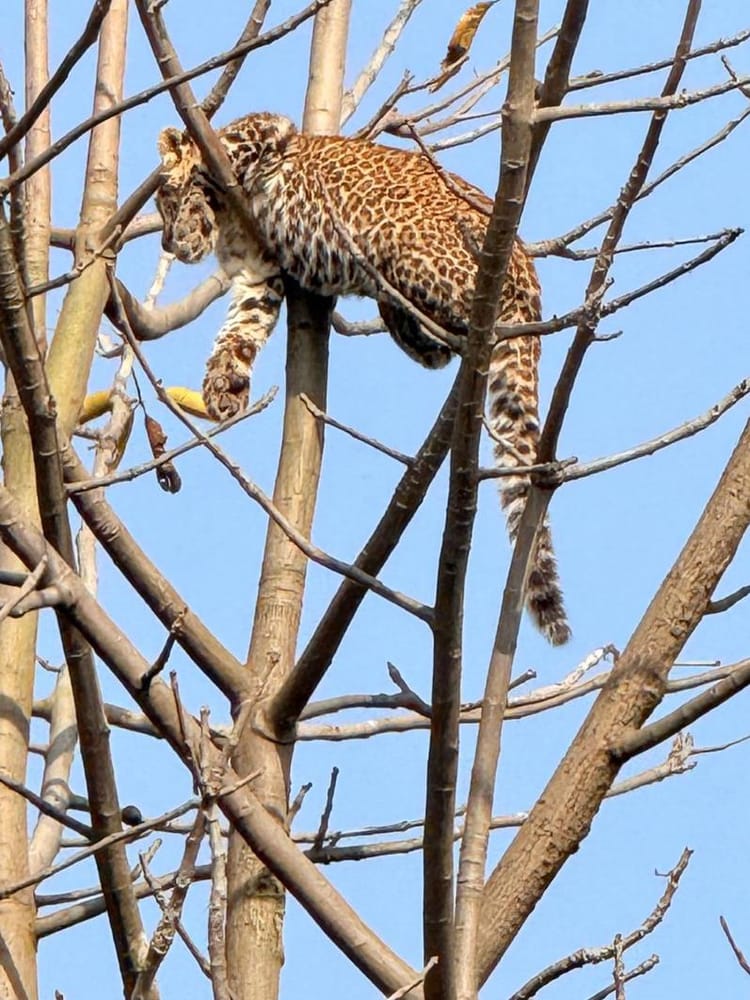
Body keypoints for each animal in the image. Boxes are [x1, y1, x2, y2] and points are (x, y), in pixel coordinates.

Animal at [155, 111, 570, 645]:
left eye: (167, 197)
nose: (169, 243)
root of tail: (528, 280)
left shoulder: (265, 129)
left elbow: (225, 150)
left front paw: (204, 184)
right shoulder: (258, 274)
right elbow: (241, 332)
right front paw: (224, 388)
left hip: (409, 247)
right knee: (431, 348)